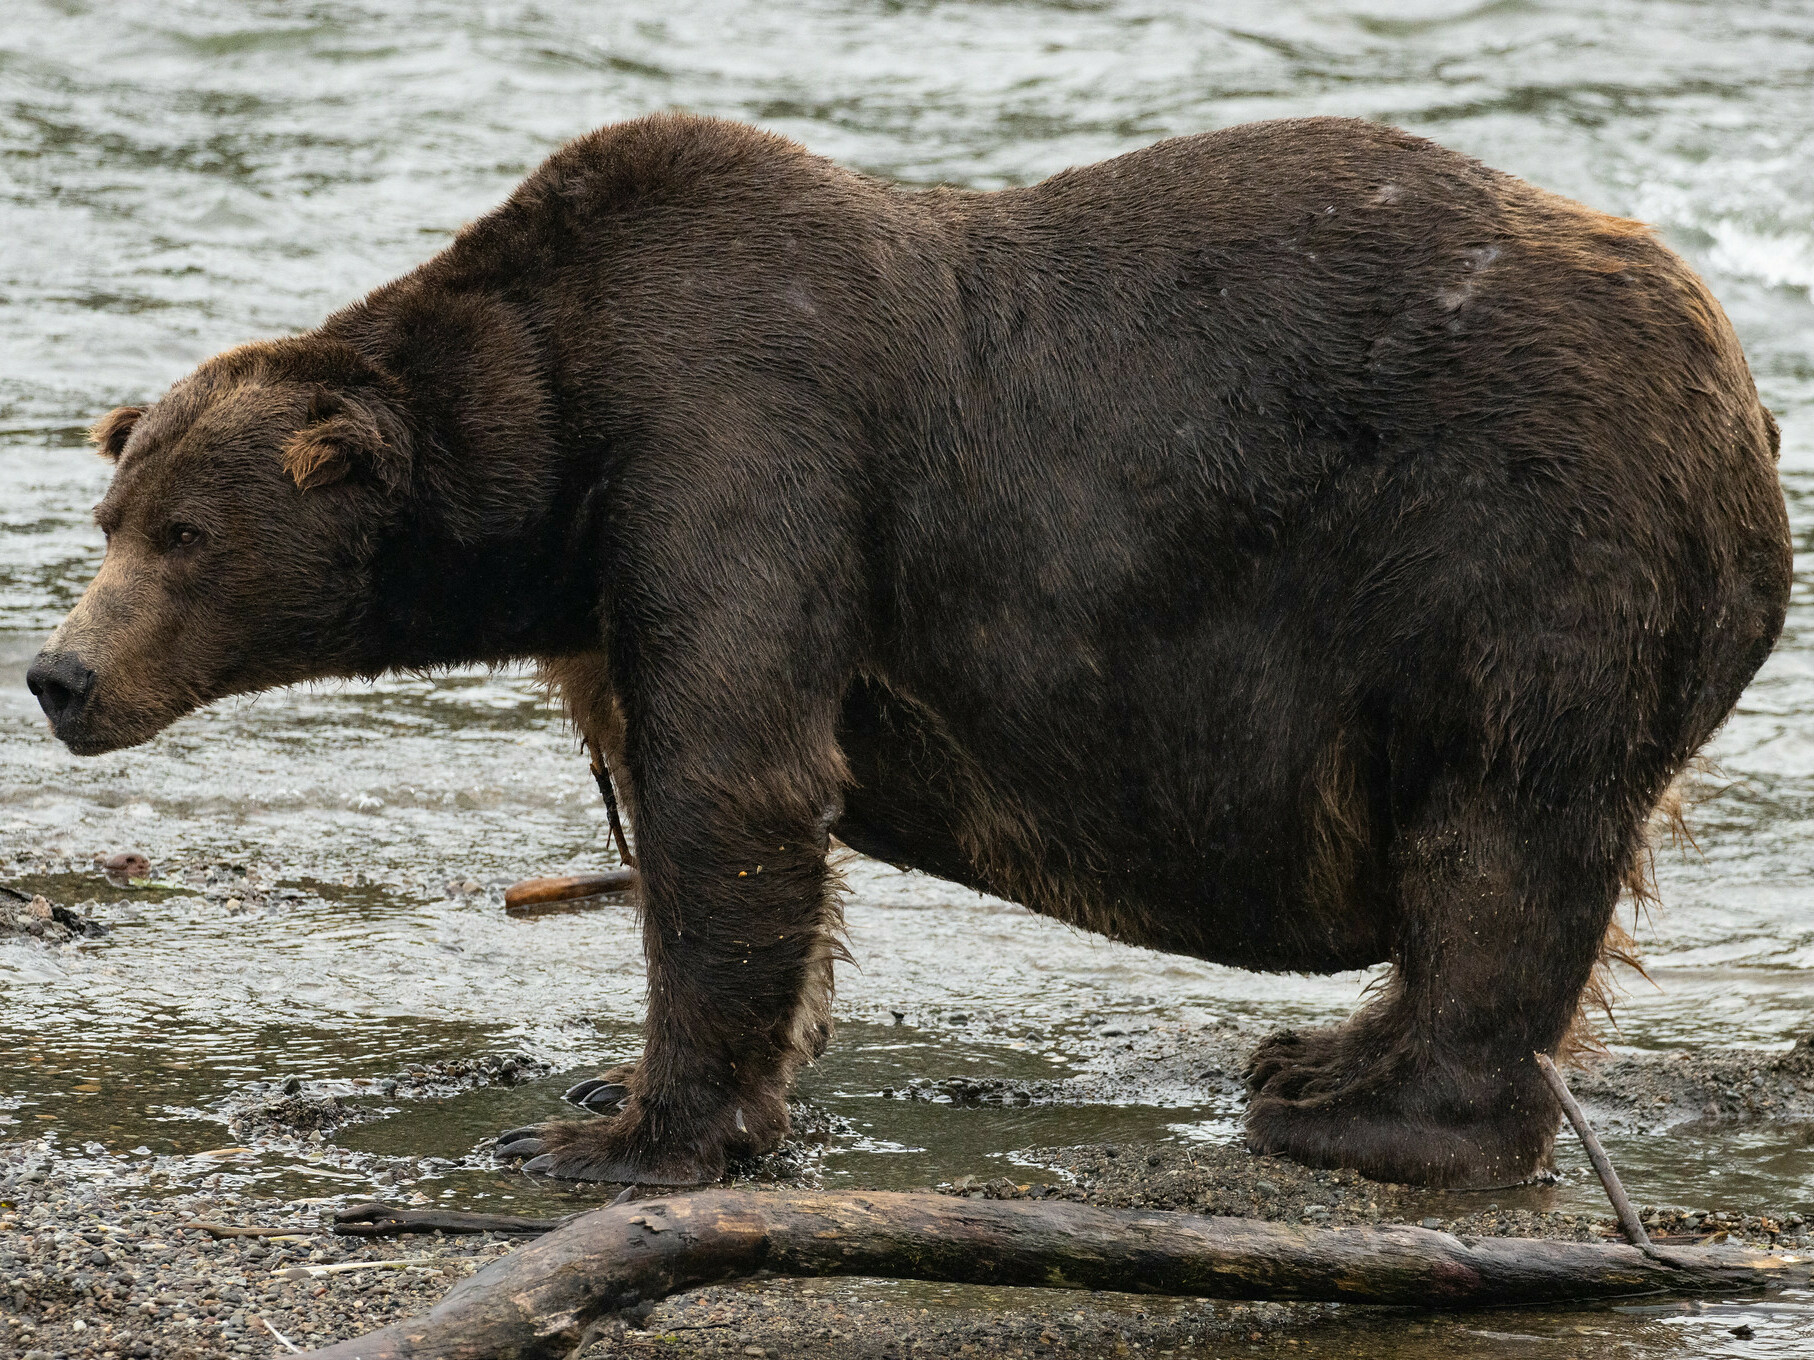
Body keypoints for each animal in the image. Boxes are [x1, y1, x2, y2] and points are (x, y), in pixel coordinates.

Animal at [29, 113, 1790, 1189]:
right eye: (113, 510)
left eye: (181, 537)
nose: (58, 676)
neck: (558, 448)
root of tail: (1742, 399)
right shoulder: (613, 577)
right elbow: (686, 809)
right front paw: (658, 1091)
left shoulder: (745, 446)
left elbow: (732, 790)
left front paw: (613, 1132)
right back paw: (1316, 1051)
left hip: (1511, 542)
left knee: (1498, 832)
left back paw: (1361, 1115)